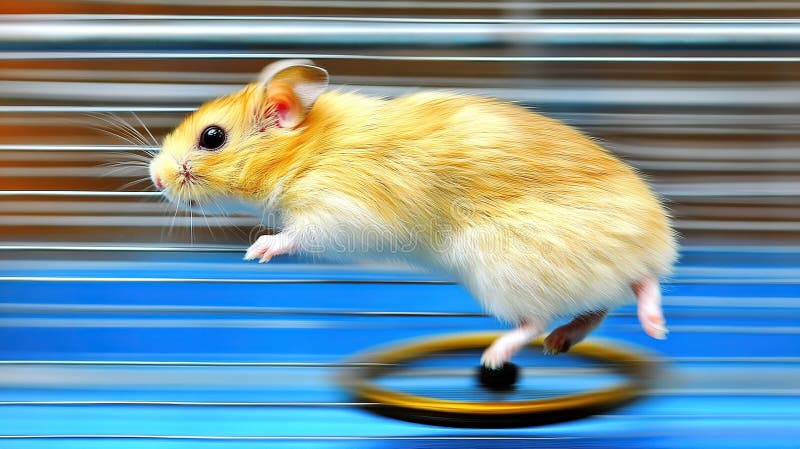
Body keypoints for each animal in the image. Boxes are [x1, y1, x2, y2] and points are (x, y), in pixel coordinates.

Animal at [150, 59, 677, 368]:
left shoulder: (339, 209)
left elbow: (297, 235)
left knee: (539, 321)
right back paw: (633, 331)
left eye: (212, 137)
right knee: (618, 296)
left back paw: (494, 356)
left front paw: (256, 250)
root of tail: (659, 245)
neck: (308, 152)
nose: (156, 178)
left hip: (500, 268)